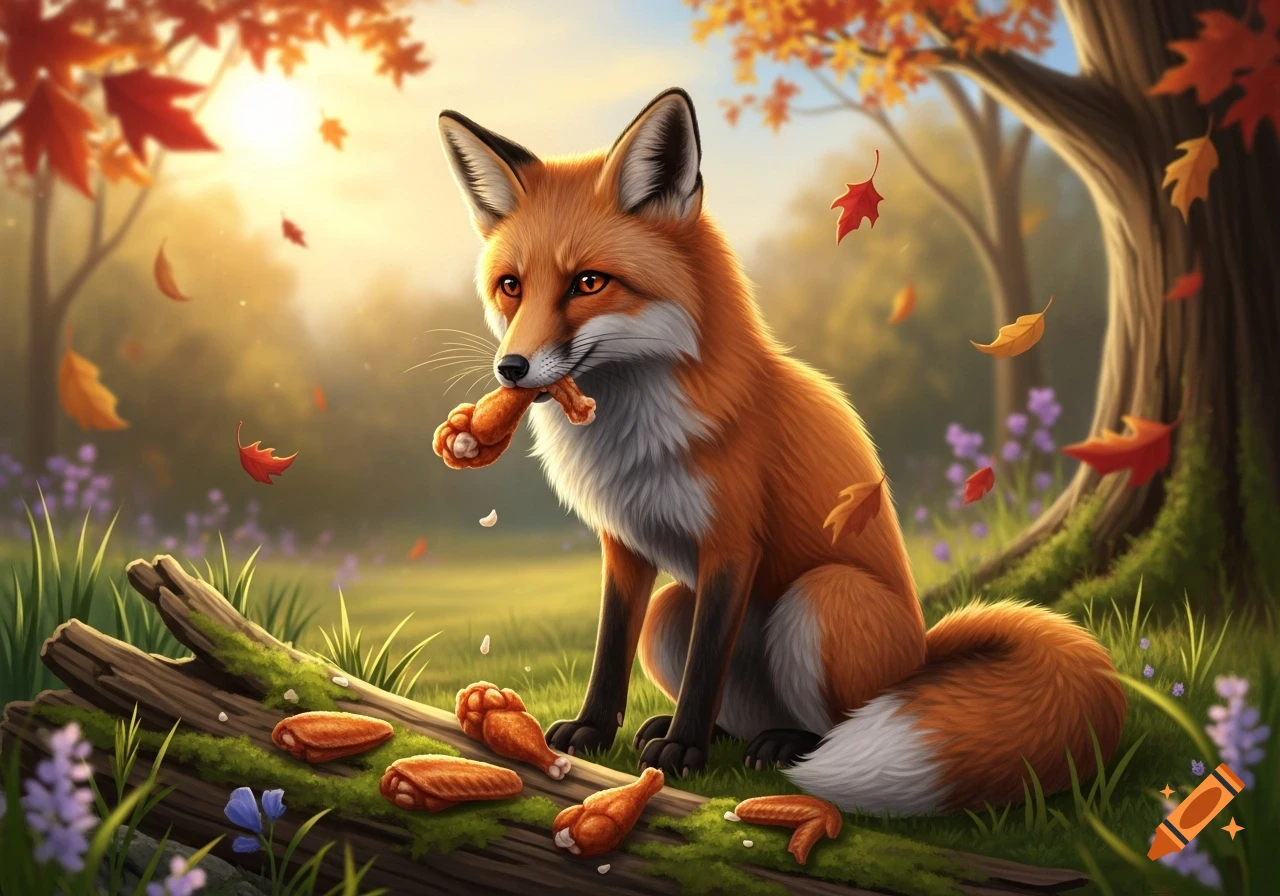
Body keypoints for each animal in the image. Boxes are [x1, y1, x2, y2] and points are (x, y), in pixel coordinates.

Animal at [436, 87, 1126, 814]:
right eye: (511, 286)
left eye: (589, 283)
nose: (511, 369)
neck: (635, 436)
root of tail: (921, 654)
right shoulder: (624, 546)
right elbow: (609, 649)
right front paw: (596, 730)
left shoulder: (734, 543)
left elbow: (706, 662)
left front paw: (682, 752)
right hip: (671, 612)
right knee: (735, 703)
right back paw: (720, 732)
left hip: (819, 599)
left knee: (839, 721)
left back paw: (784, 744)